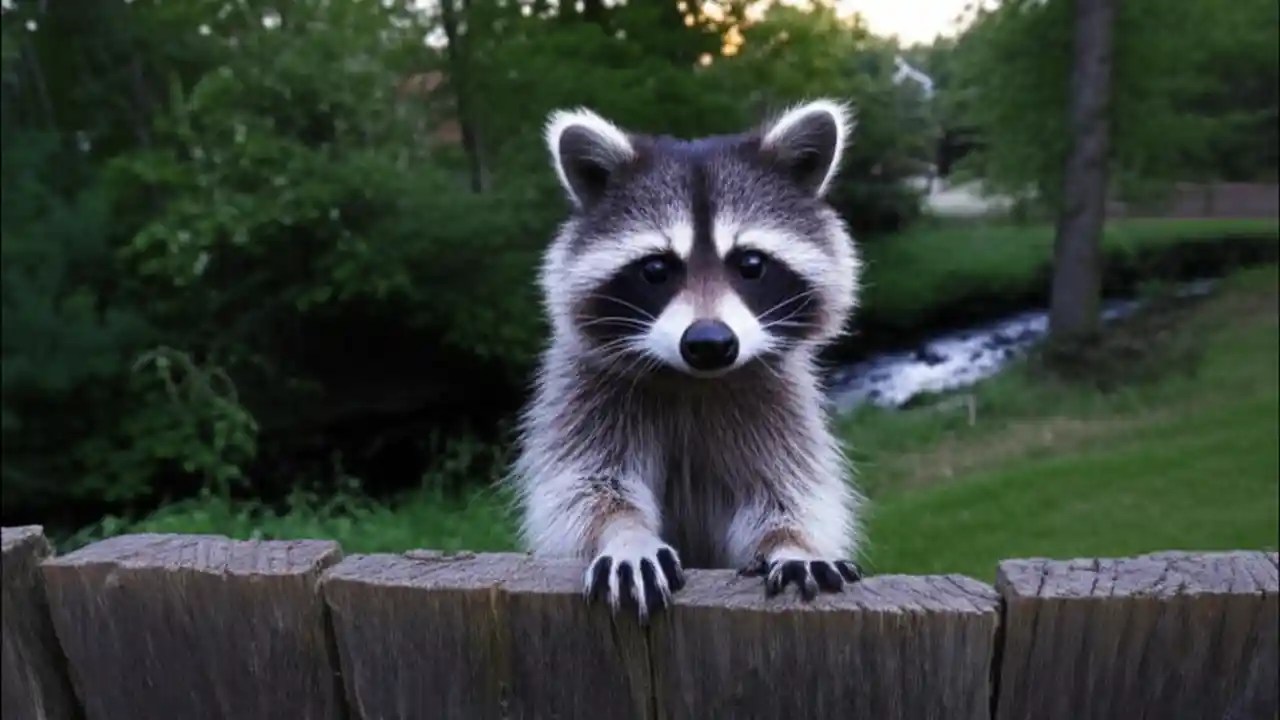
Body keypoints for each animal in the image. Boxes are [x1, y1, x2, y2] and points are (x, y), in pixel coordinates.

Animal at [510, 99, 865, 620]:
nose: (709, 342)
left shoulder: (782, 408)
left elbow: (787, 495)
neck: (694, 380)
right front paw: (627, 535)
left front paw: (793, 544)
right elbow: (584, 490)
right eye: (656, 268)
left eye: (751, 264)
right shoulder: (582, 396)